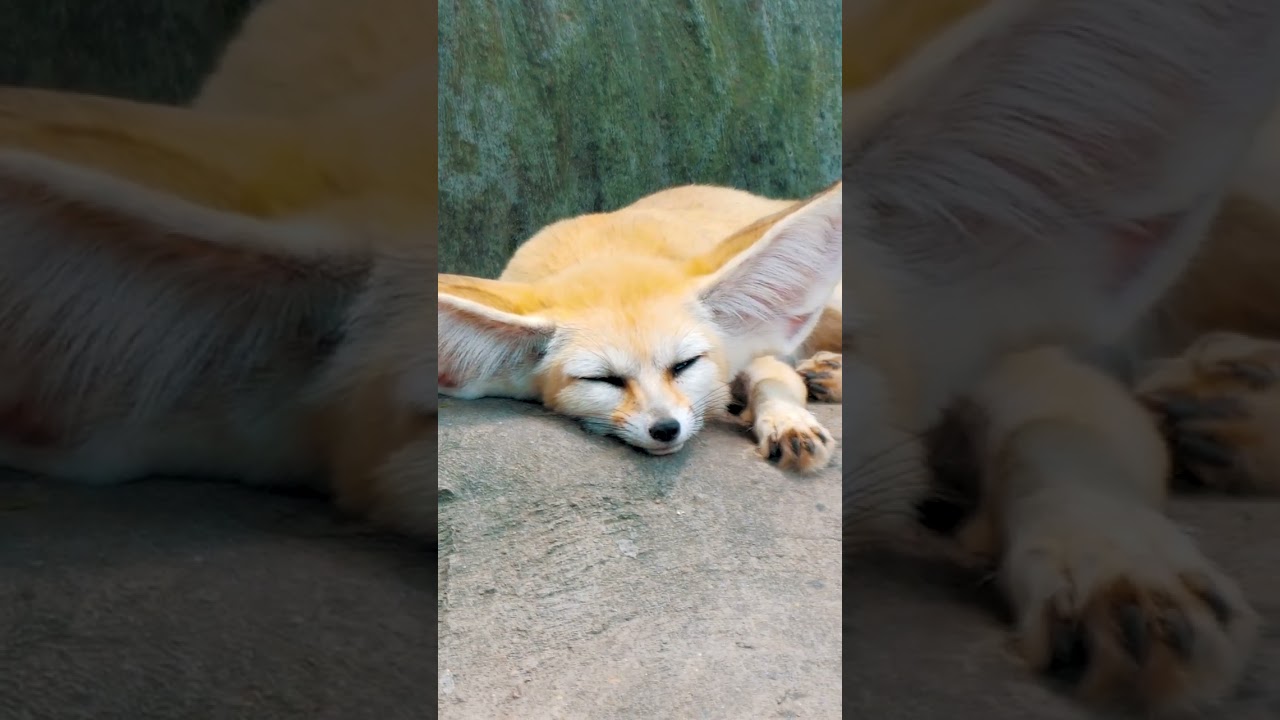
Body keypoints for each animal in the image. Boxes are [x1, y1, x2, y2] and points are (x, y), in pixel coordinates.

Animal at [437, 182, 844, 471]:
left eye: (684, 365)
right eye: (603, 380)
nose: (665, 428)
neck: (605, 246)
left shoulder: (752, 351)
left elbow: (772, 378)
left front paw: (787, 420)